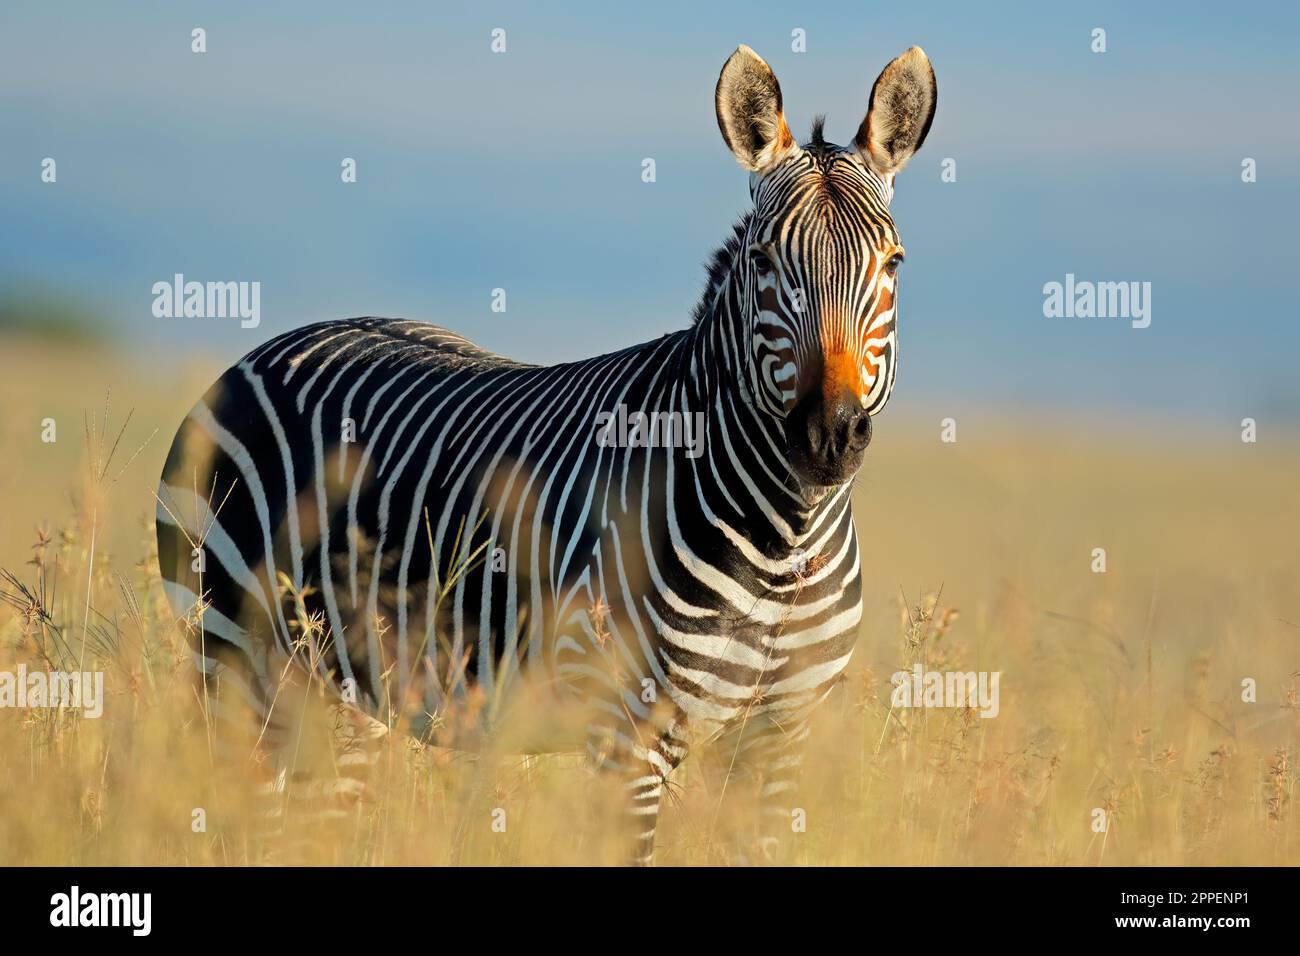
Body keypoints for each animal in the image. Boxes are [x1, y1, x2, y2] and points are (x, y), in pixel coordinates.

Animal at [155, 44, 936, 864]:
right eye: (763, 262)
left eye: (893, 264)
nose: (828, 435)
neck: (785, 542)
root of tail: (270, 346)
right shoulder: (627, 731)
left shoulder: (779, 736)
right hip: (234, 658)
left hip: (339, 691)